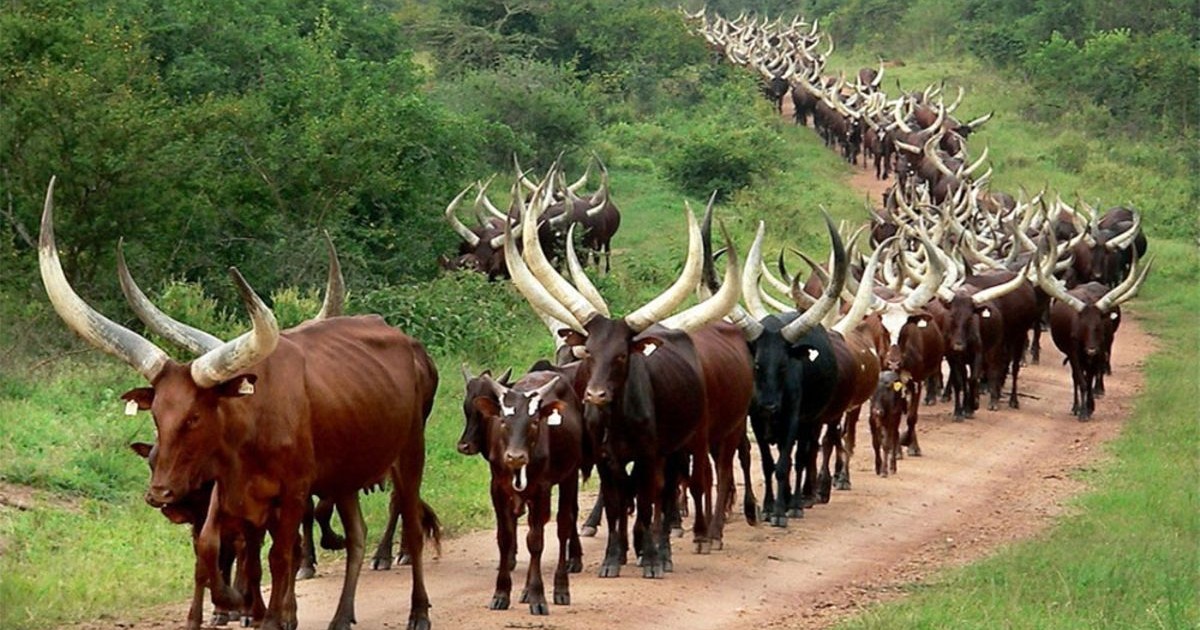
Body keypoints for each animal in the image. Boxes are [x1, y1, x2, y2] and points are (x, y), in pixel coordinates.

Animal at [39, 177, 440, 630]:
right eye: (156, 415)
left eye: (196, 416)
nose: (159, 493)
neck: (251, 432)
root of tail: (407, 343)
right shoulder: (234, 498)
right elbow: (220, 551)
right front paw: (237, 604)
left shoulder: (293, 494)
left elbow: (280, 556)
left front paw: (273, 617)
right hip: (346, 476)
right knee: (356, 535)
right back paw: (340, 616)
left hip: (408, 456)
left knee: (410, 526)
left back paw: (418, 611)